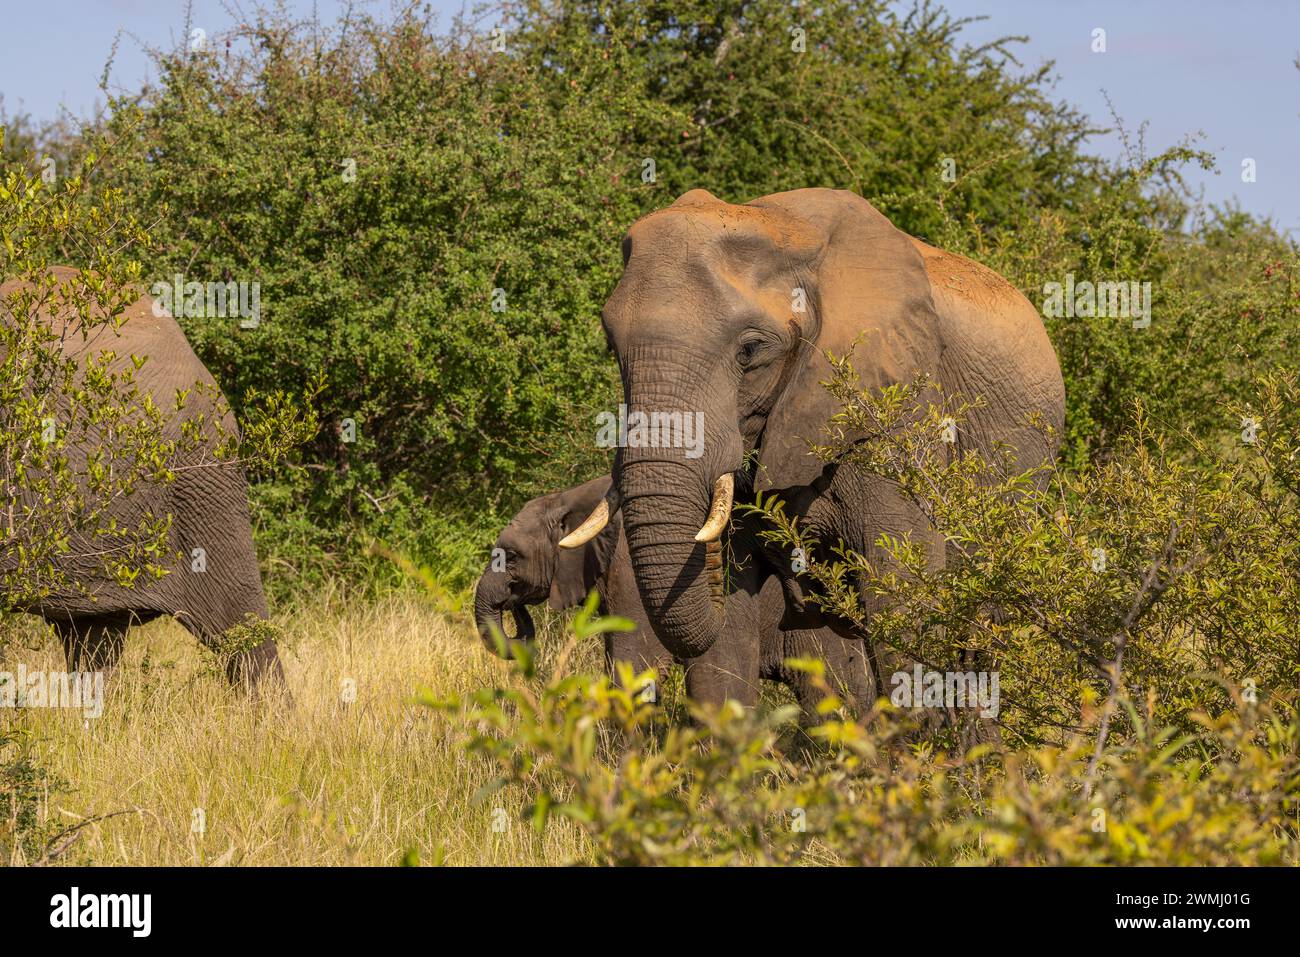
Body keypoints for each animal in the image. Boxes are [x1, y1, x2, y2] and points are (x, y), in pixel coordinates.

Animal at [558, 188, 1065, 686]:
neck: (781, 227)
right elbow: (727, 646)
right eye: (611, 346)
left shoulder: (898, 404)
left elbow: (902, 584)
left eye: (750, 351)